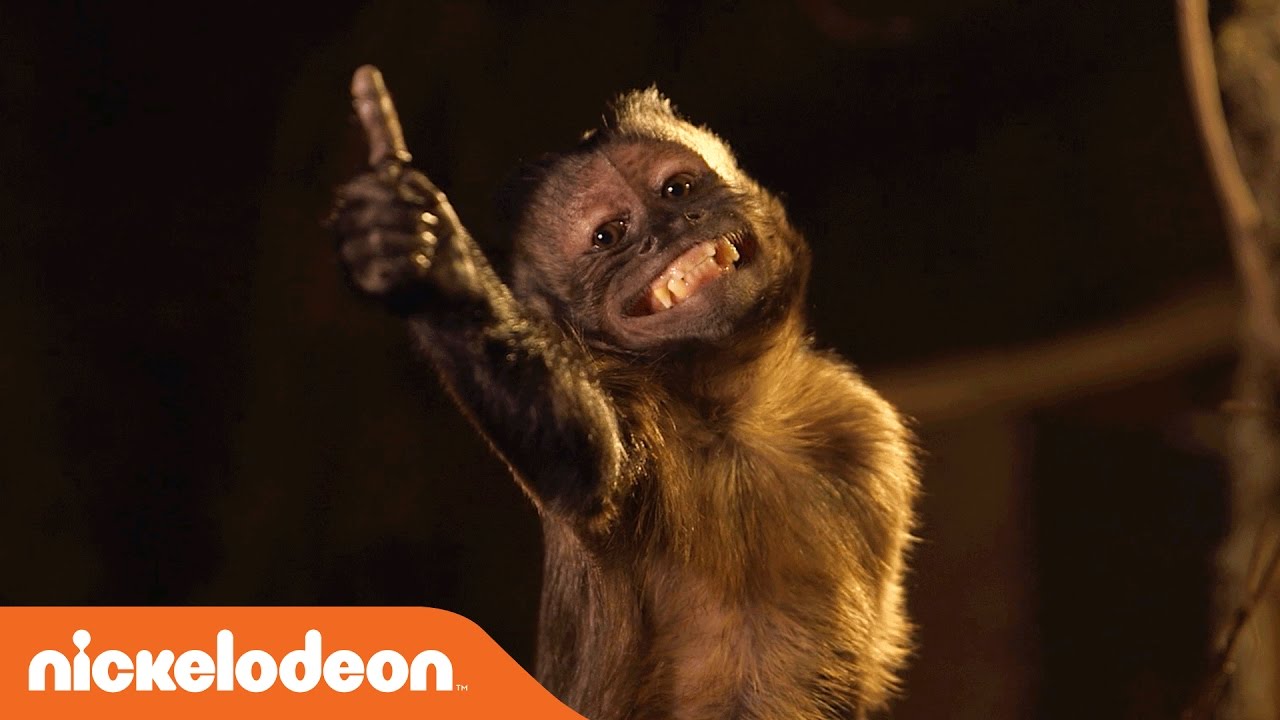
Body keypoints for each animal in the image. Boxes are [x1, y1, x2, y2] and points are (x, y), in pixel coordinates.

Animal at [331, 66, 918, 720]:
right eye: (610, 236)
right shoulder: (631, 404)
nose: (668, 230)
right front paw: (439, 272)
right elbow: (588, 459)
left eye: (677, 190)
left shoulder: (861, 426)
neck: (726, 411)